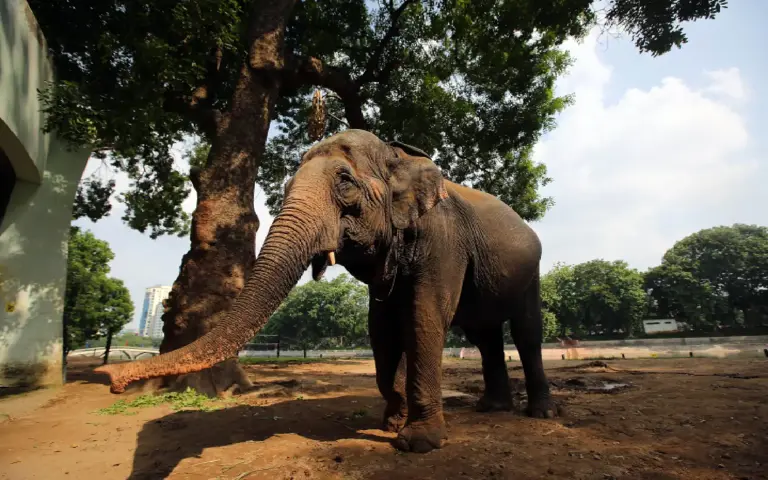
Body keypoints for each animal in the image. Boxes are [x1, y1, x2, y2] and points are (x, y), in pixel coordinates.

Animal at [96, 129, 556, 453]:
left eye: (345, 182)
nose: (111, 378)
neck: (399, 156)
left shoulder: (442, 241)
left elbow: (423, 317)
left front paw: (418, 443)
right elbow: (381, 328)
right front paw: (391, 423)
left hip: (532, 269)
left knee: (527, 331)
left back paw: (541, 412)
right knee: (485, 337)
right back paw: (491, 408)